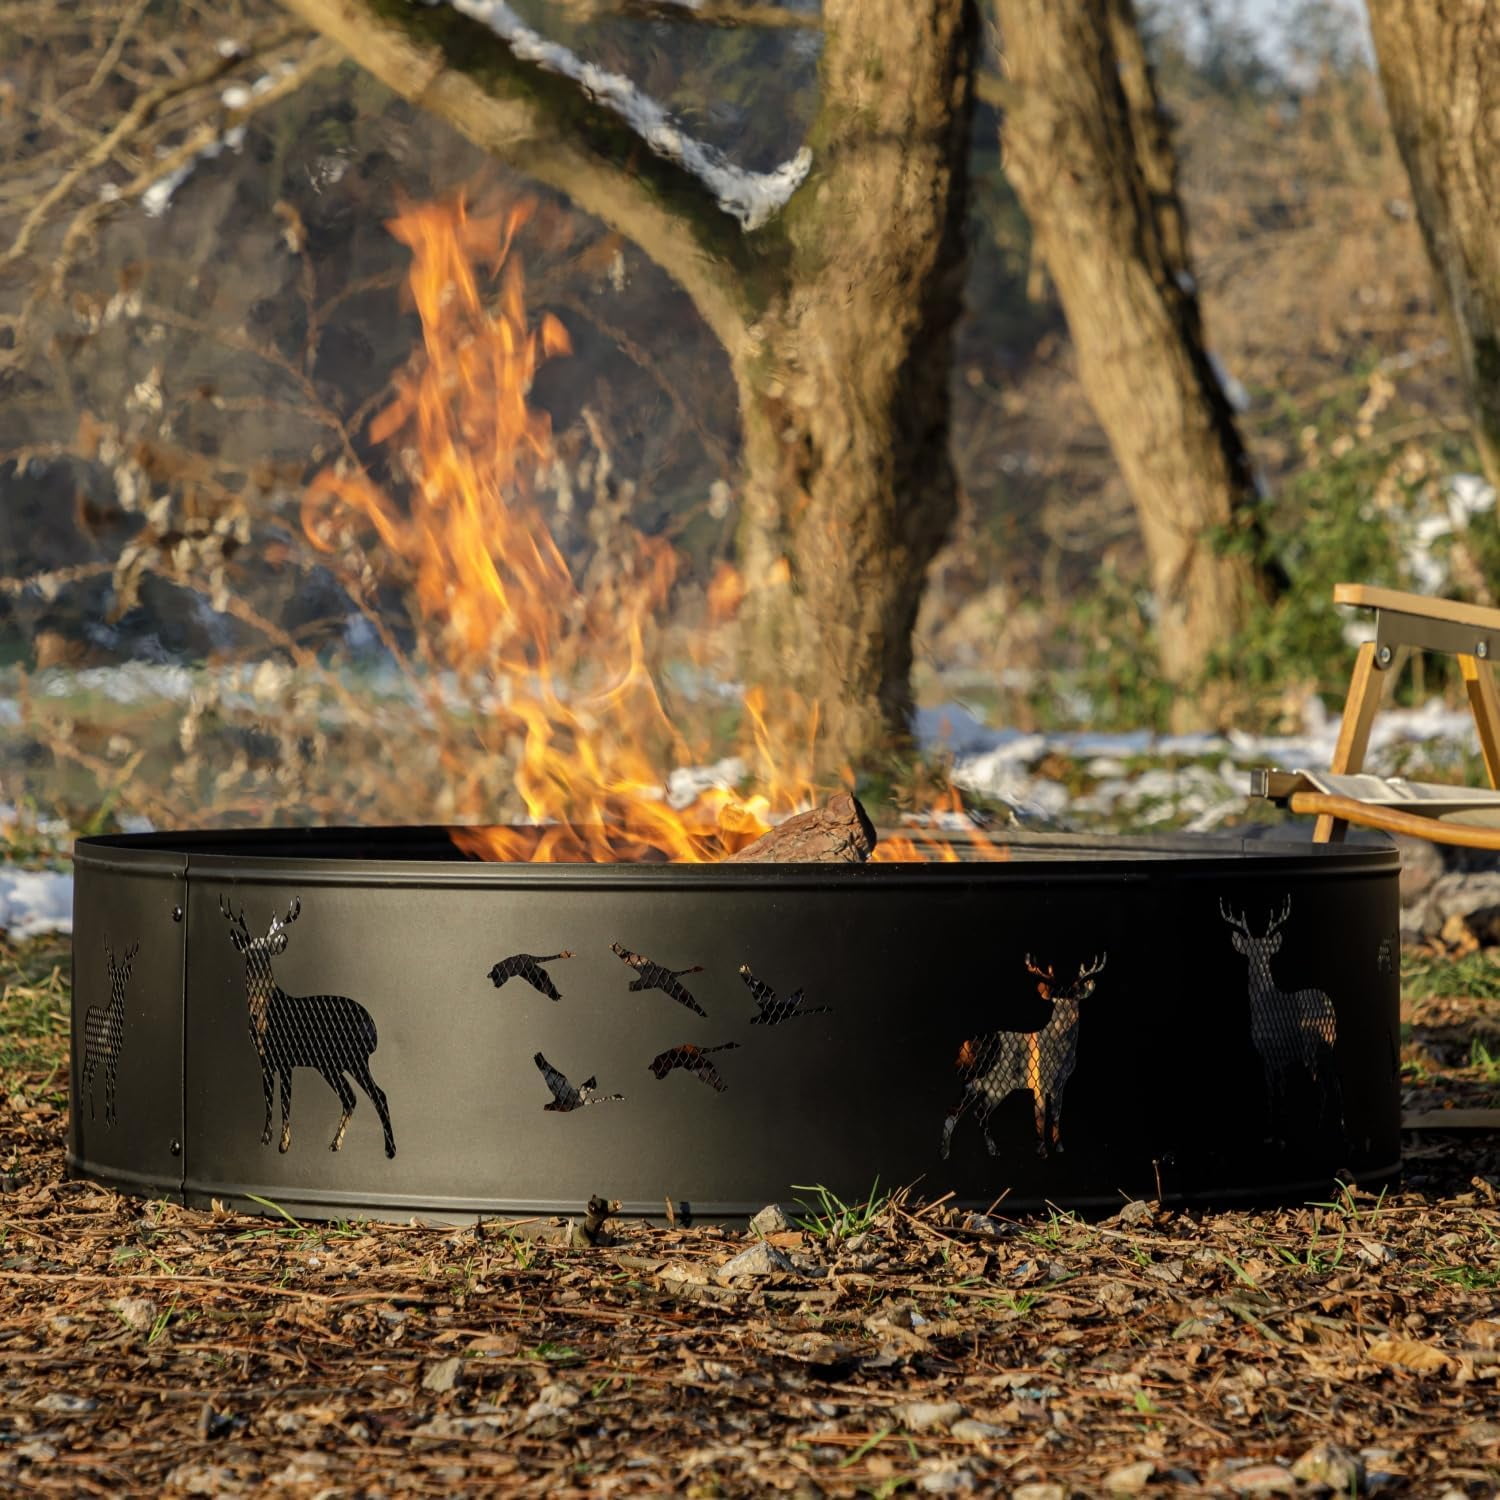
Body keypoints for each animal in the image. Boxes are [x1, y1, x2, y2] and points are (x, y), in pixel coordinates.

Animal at [83, 939, 137, 1126]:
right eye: (114, 976)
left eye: (124, 976)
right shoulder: (109, 1058)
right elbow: (108, 1084)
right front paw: (108, 1117)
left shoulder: (114, 1058)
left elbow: (111, 1083)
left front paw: (111, 1116)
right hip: (90, 1053)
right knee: (86, 1076)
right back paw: (88, 1111)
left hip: (95, 1057)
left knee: (90, 1076)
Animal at [219, 896, 396, 1159]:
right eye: (249, 954)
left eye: (267, 954)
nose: (258, 968)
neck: (264, 1019)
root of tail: (373, 1029)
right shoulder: (265, 1060)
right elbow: (268, 1099)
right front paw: (265, 1139)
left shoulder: (286, 1059)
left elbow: (285, 1101)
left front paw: (284, 1144)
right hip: (330, 1063)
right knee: (350, 1097)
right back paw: (334, 1144)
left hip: (355, 1058)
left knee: (378, 1095)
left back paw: (389, 1151)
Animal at [941, 954, 1106, 1160]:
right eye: (1055, 999)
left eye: (1075, 996)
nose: (1065, 1019)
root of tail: (963, 1049)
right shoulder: (1038, 1080)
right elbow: (1040, 1116)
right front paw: (1042, 1150)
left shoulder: (1061, 1082)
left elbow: (1056, 1113)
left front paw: (1059, 1146)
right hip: (980, 1079)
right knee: (964, 1111)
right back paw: (953, 1152)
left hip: (989, 1086)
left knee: (970, 1112)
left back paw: (978, 1151)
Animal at [1220, 895, 1341, 1134]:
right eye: (1251, 951)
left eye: (1266, 952)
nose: (1259, 967)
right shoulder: (1279, 1056)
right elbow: (1281, 1088)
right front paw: (1281, 1121)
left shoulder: (1269, 1051)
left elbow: (1271, 1090)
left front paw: (1272, 1125)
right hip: (1330, 1045)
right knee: (1334, 1080)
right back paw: (1336, 1124)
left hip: (1309, 1045)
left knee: (1317, 1083)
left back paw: (1318, 1127)